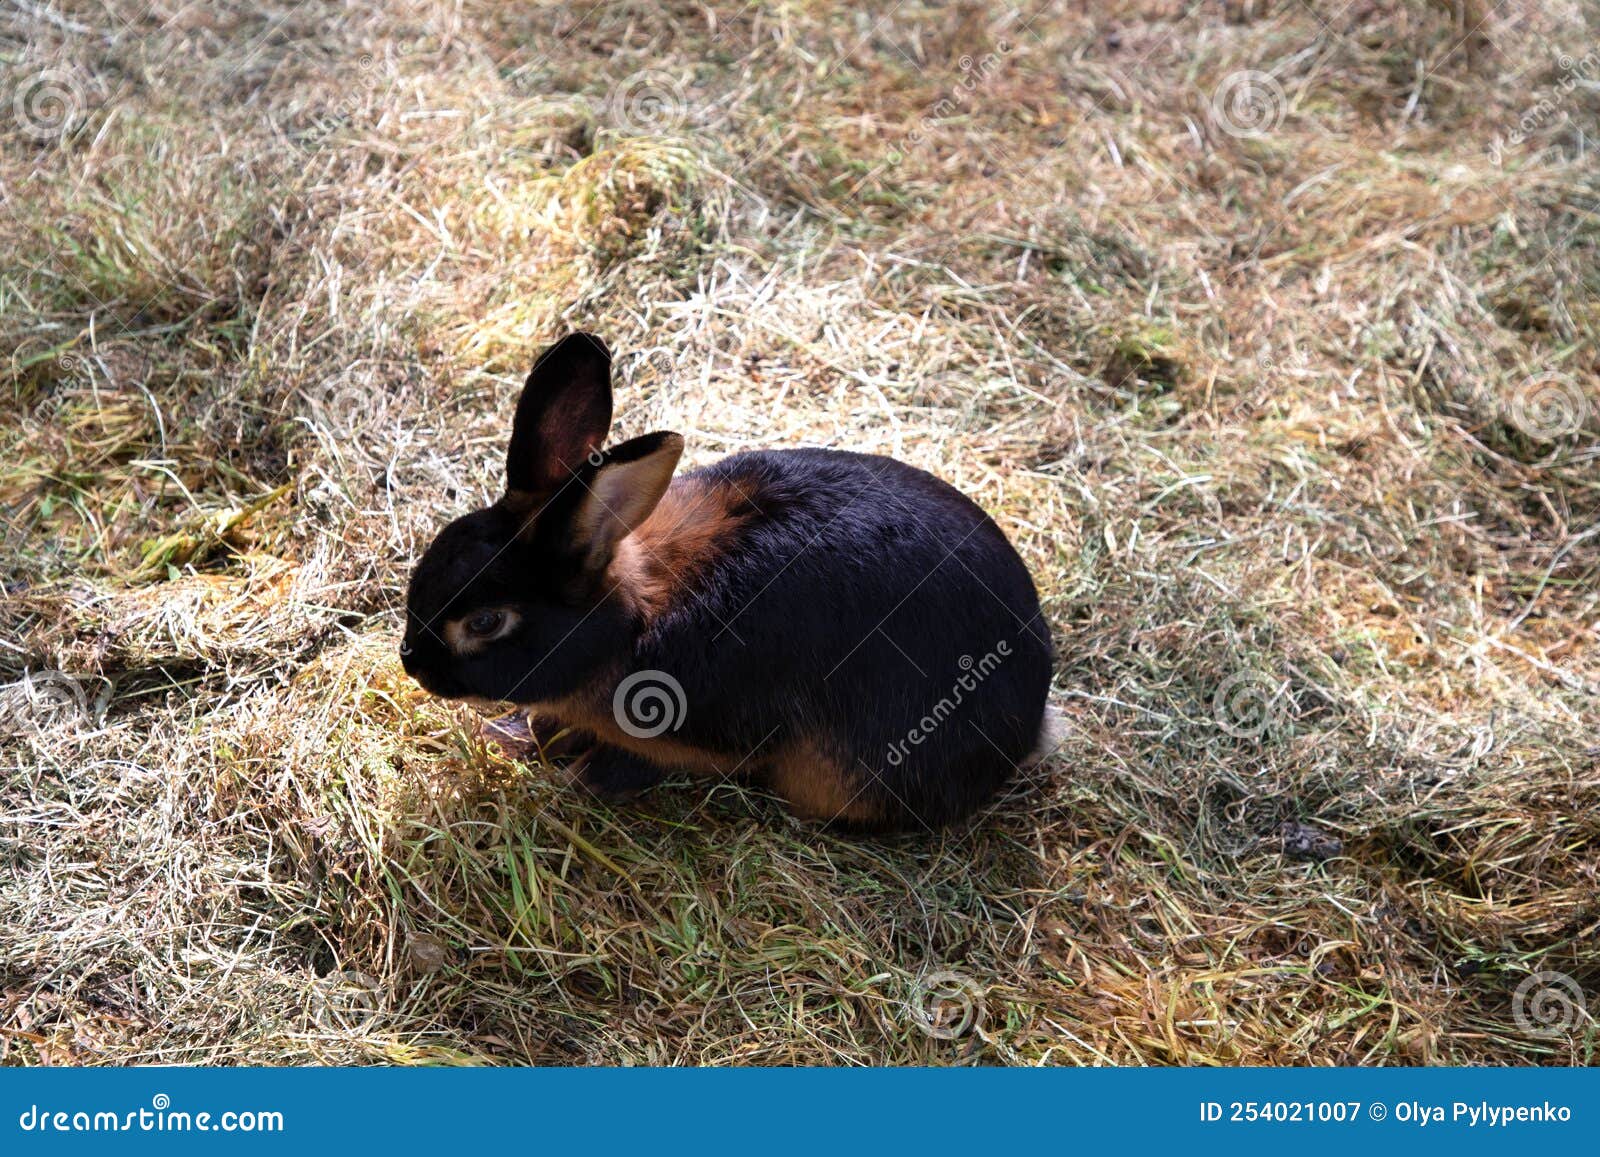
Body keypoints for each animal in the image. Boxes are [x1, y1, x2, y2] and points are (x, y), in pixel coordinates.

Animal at [401, 333, 1055, 829]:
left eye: (486, 622)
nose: (412, 662)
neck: (628, 624)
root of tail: (1028, 726)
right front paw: (530, 737)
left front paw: (583, 779)